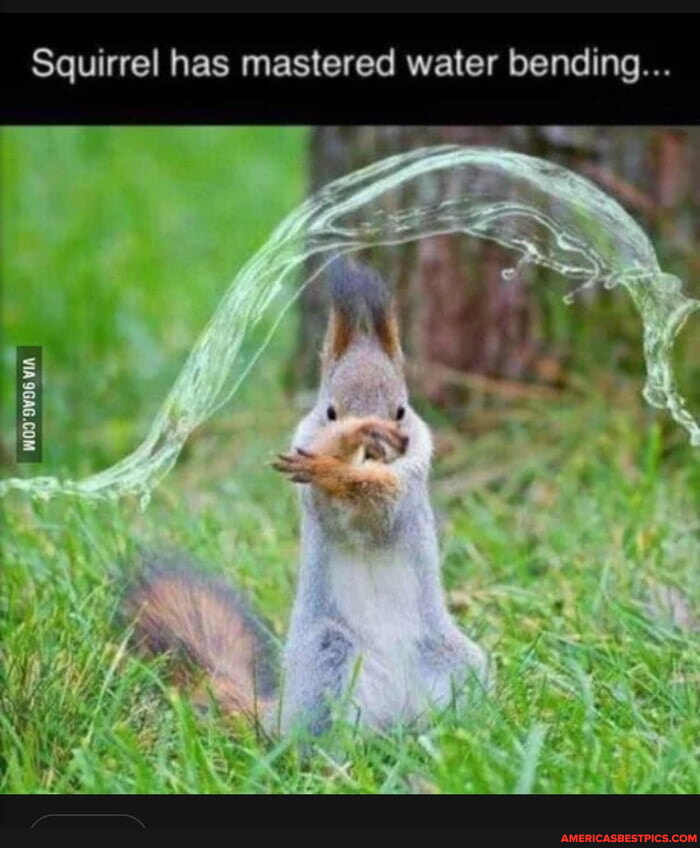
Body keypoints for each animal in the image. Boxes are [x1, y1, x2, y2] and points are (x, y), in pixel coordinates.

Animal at [124, 256, 488, 738]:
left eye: (401, 410)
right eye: (329, 410)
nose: (377, 445)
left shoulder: (409, 488)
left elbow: (382, 507)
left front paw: (343, 469)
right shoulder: (313, 493)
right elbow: (333, 505)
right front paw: (338, 452)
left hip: (454, 665)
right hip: (327, 656)